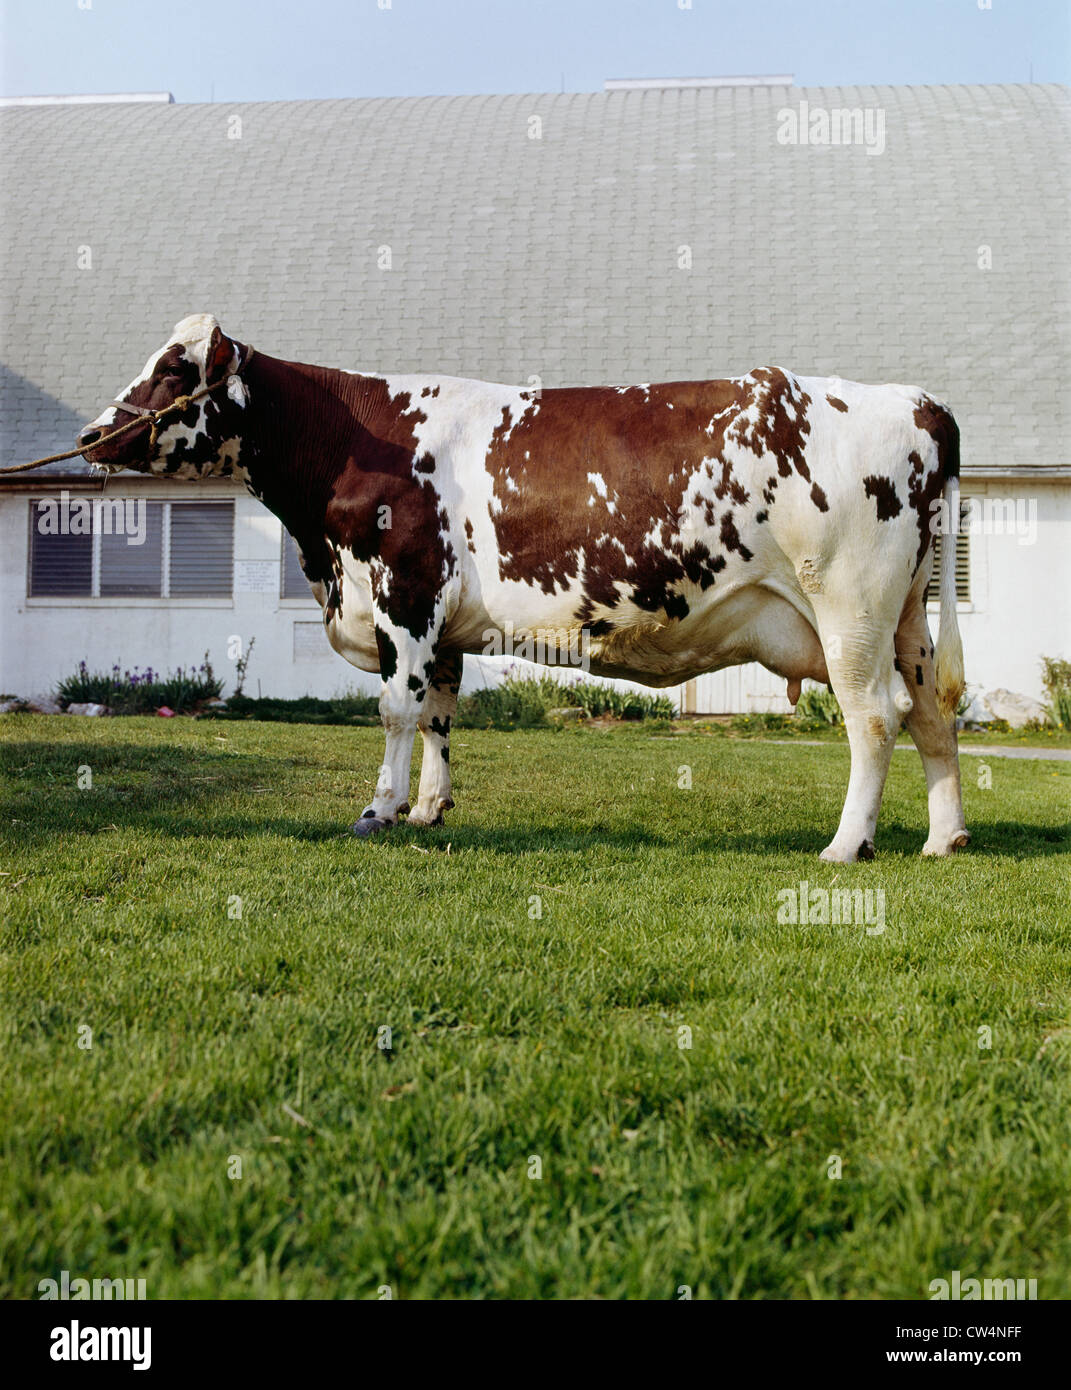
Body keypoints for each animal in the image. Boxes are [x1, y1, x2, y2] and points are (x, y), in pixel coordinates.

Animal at [78, 314, 969, 862]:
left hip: (849, 607)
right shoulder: (437, 625)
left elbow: (395, 710)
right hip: (905, 620)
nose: (91, 434)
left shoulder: (404, 594)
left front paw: (378, 811)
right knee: (930, 710)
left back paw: (847, 845)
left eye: (174, 369)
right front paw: (429, 809)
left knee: (874, 716)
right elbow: (439, 712)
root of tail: (916, 400)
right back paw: (944, 837)